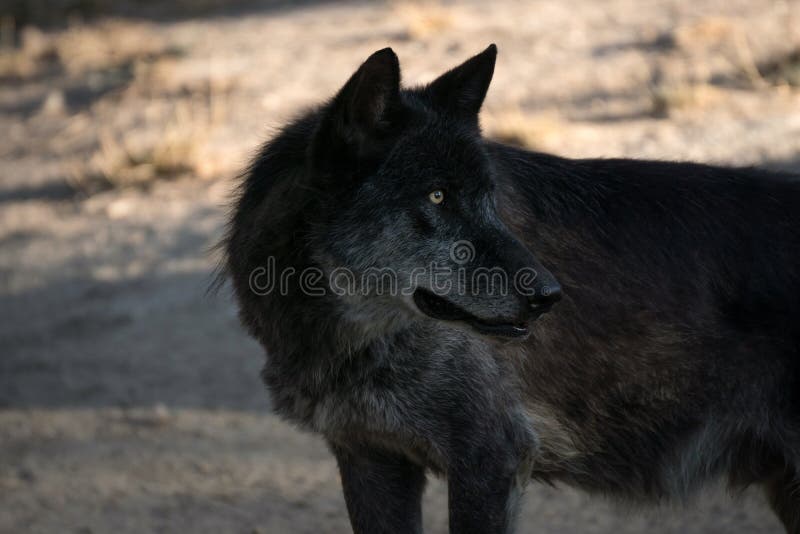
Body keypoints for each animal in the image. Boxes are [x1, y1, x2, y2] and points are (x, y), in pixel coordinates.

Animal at [221, 45, 800, 533]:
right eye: (437, 196)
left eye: (489, 198)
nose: (550, 295)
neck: (353, 339)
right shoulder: (369, 457)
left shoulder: (491, 458)